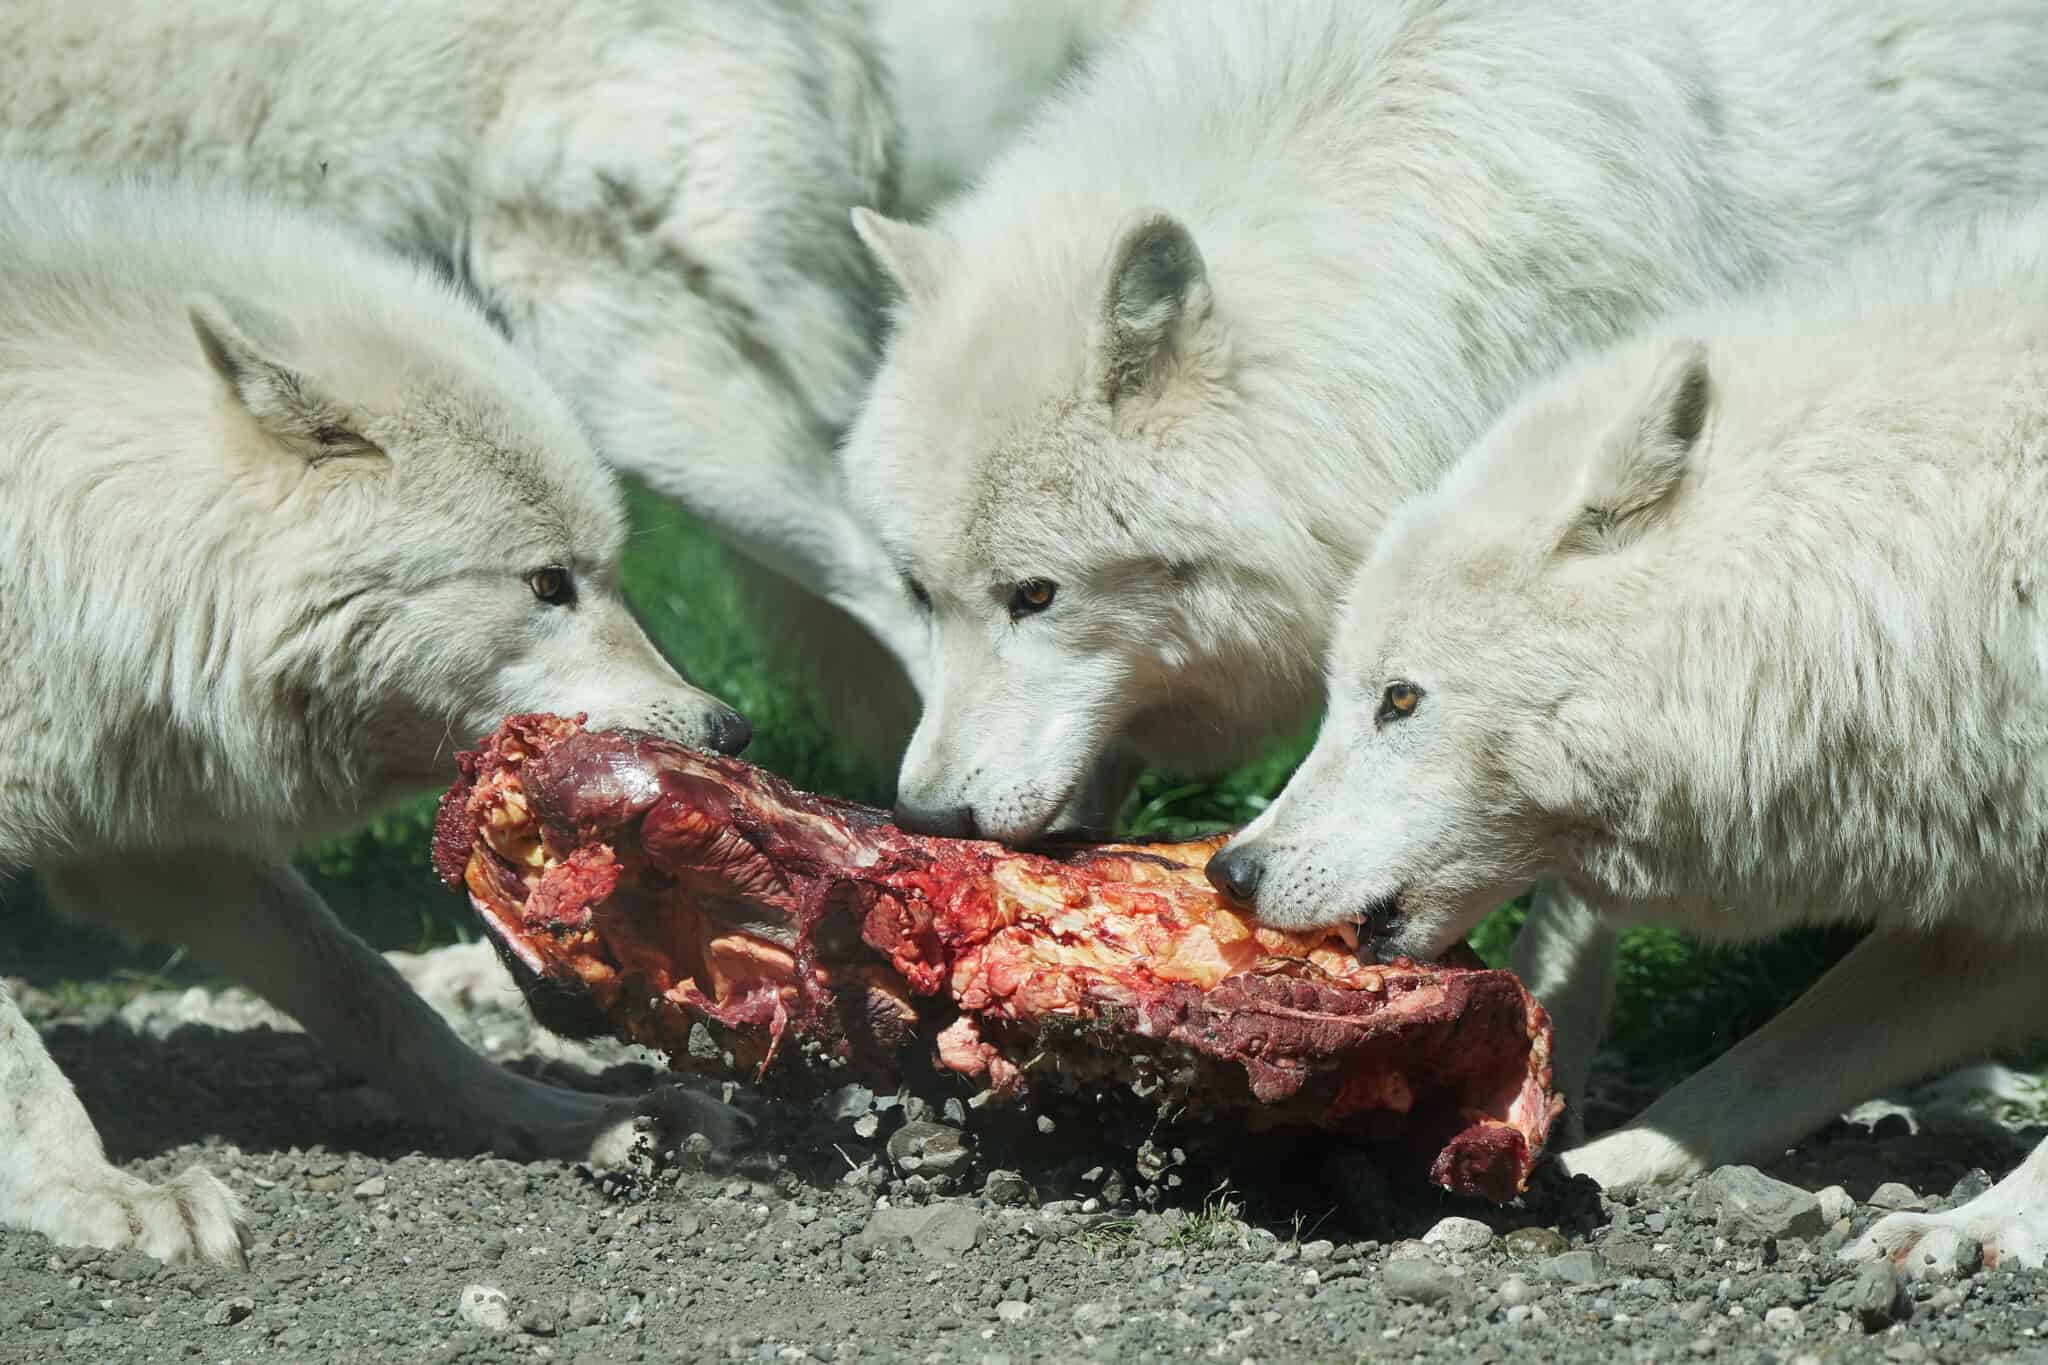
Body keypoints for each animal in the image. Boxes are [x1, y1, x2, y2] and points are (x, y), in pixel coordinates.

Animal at [0, 162, 750, 1265]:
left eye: (610, 573)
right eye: (548, 583)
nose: (729, 731)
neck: (91, 539)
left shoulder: (153, 838)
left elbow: (373, 993)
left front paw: (561, 1116)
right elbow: (20, 1065)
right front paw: (102, 1191)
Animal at [1208, 205, 2048, 1274]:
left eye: (1398, 698)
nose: (1230, 870)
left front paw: (1976, 1223)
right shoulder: (1996, 914)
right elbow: (1747, 1075)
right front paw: (1585, 1161)